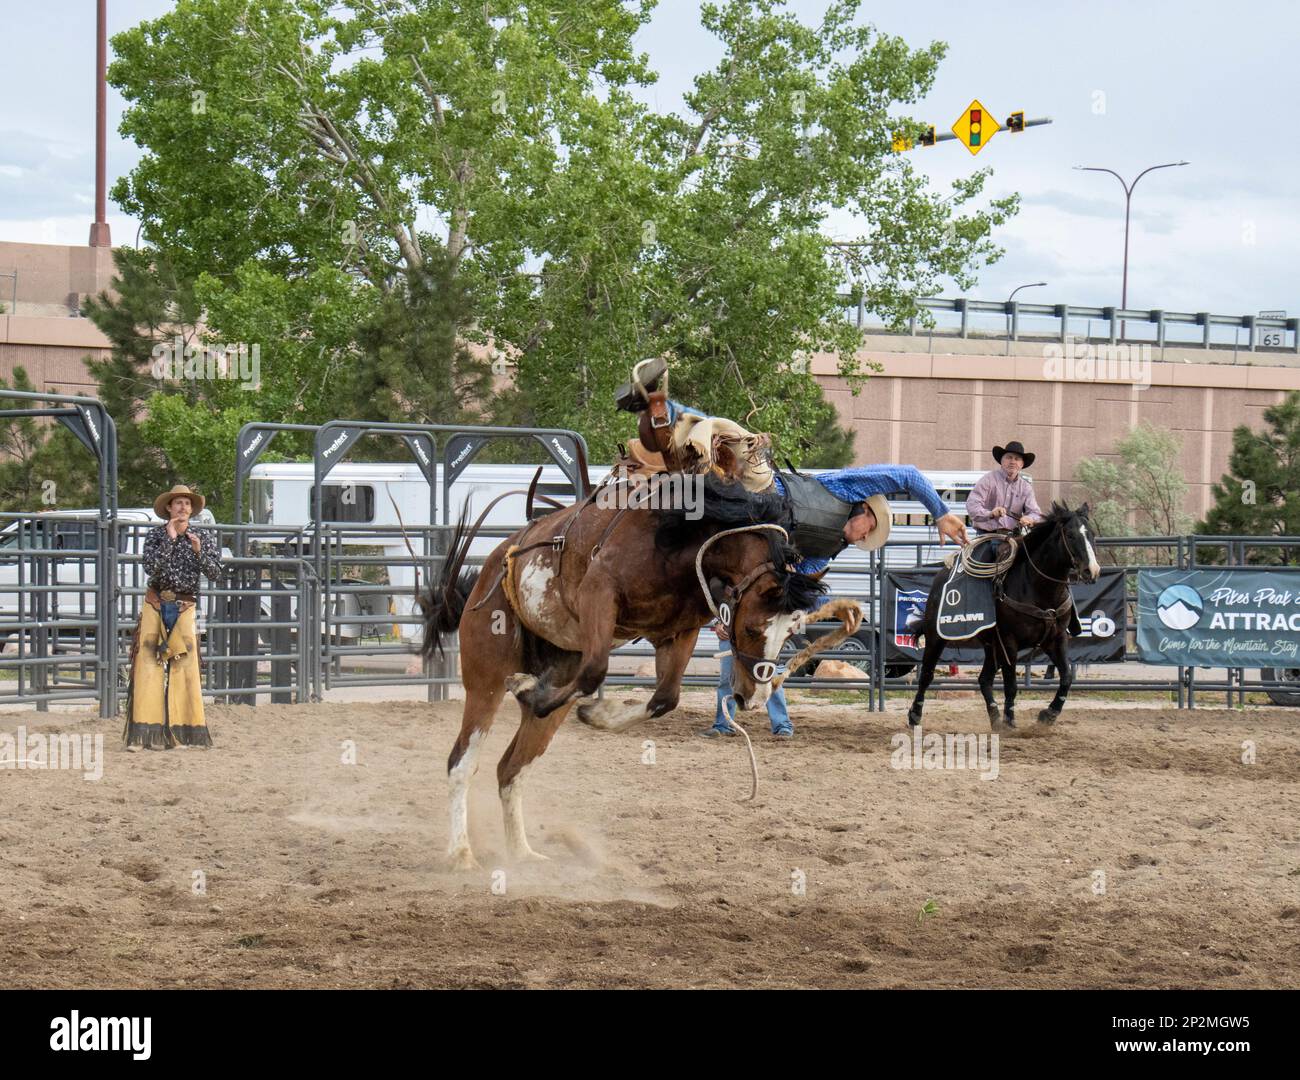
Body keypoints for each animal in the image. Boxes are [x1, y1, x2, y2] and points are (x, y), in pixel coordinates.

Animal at [419, 474, 852, 870]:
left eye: (792, 631)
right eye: (750, 629)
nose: (754, 696)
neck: (679, 541)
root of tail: (491, 569)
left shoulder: (678, 633)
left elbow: (664, 698)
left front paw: (596, 714)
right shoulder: (599, 593)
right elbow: (595, 673)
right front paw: (543, 692)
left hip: (548, 690)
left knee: (512, 768)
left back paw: (523, 853)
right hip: (485, 677)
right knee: (462, 762)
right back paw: (461, 853)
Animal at [905, 502, 1100, 729]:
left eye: (1091, 534)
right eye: (1069, 535)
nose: (1092, 570)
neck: (1038, 588)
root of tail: (940, 577)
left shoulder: (1056, 638)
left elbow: (1067, 677)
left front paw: (1048, 714)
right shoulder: (1009, 641)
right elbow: (1011, 685)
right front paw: (1010, 722)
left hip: (991, 646)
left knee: (984, 679)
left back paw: (995, 718)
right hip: (936, 636)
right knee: (926, 675)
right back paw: (914, 716)